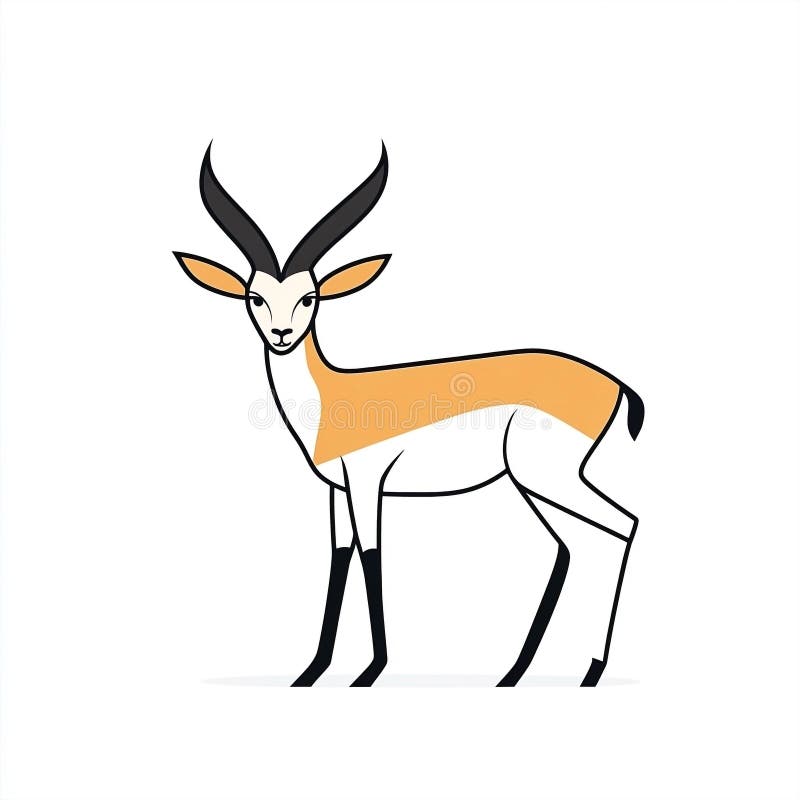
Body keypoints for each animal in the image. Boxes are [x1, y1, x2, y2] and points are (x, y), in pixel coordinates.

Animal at [173, 143, 643, 687]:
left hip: (545, 476)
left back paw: (590, 669)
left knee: (621, 526)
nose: (281, 335)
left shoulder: (367, 483)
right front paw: (311, 672)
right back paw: (517, 673)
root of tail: (616, 384)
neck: (330, 397)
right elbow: (339, 557)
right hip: (535, 482)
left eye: (310, 297)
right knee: (571, 544)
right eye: (255, 296)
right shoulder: (338, 491)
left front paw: (370, 672)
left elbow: (371, 555)